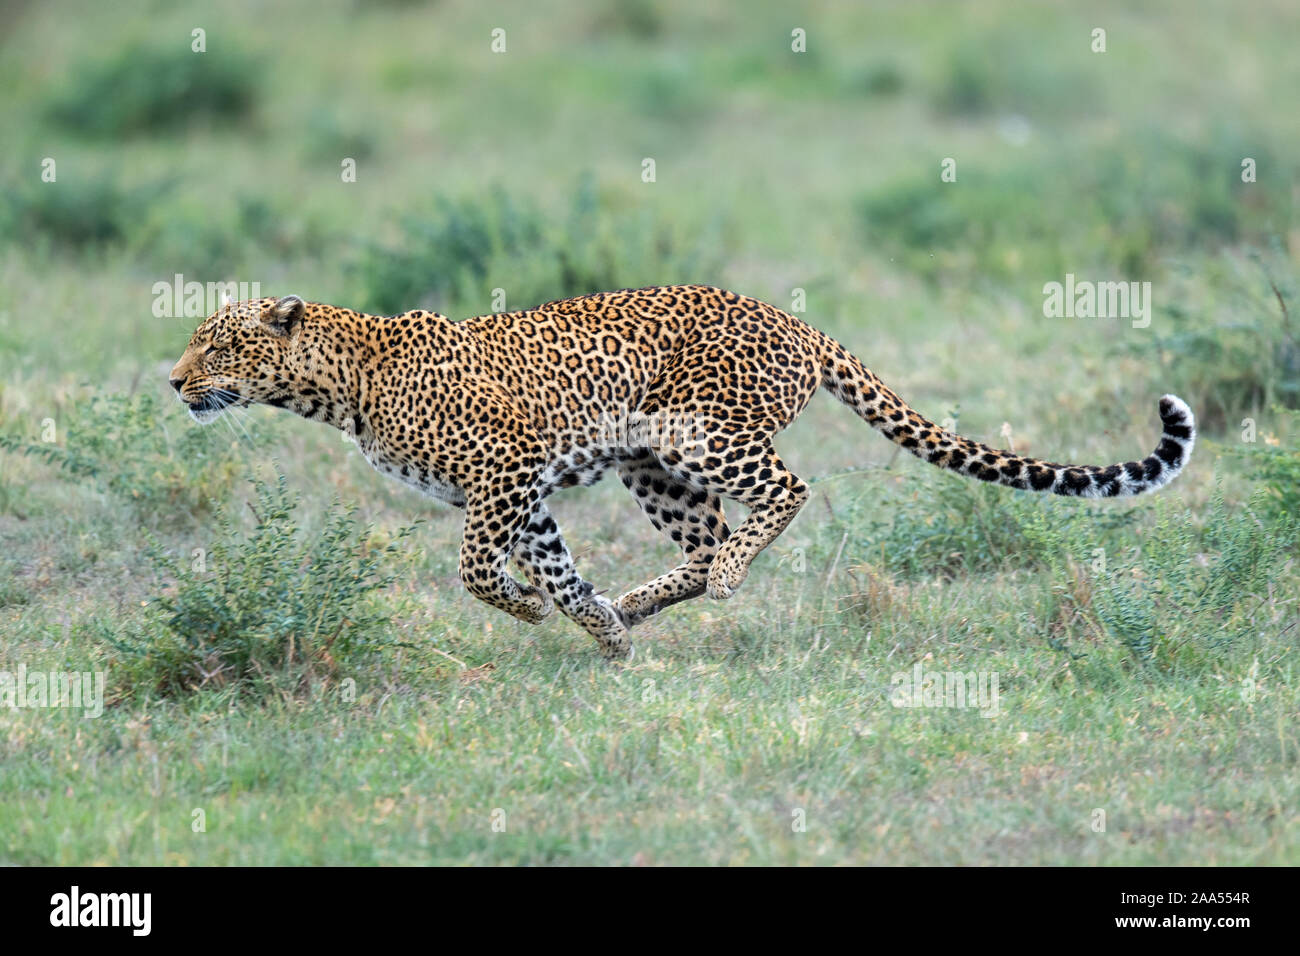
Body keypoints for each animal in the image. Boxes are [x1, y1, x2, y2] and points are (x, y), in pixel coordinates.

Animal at [168, 285, 1195, 660]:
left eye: (216, 344)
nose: (172, 380)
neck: (341, 384)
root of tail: (797, 321)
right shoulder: (526, 493)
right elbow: (554, 566)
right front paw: (600, 631)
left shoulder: (504, 473)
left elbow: (472, 569)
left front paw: (533, 613)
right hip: (652, 467)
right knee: (703, 549)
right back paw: (638, 605)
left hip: (700, 434)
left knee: (782, 496)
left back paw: (727, 574)